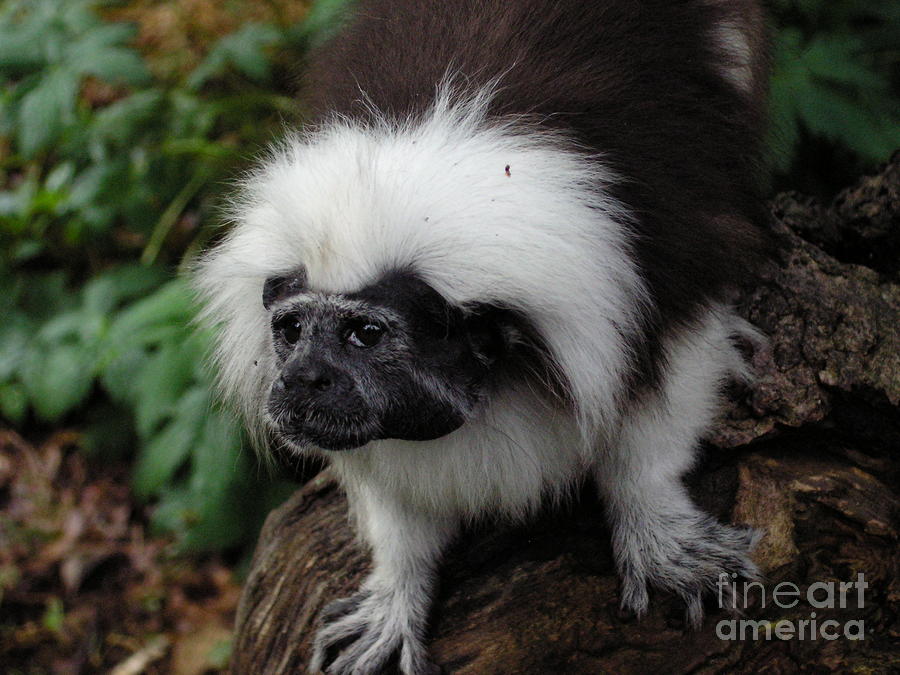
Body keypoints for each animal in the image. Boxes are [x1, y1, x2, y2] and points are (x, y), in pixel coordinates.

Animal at [193, 0, 771, 672]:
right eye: (291, 331)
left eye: (365, 333)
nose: (301, 379)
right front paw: (399, 585)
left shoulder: (663, 265)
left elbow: (672, 377)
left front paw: (652, 518)